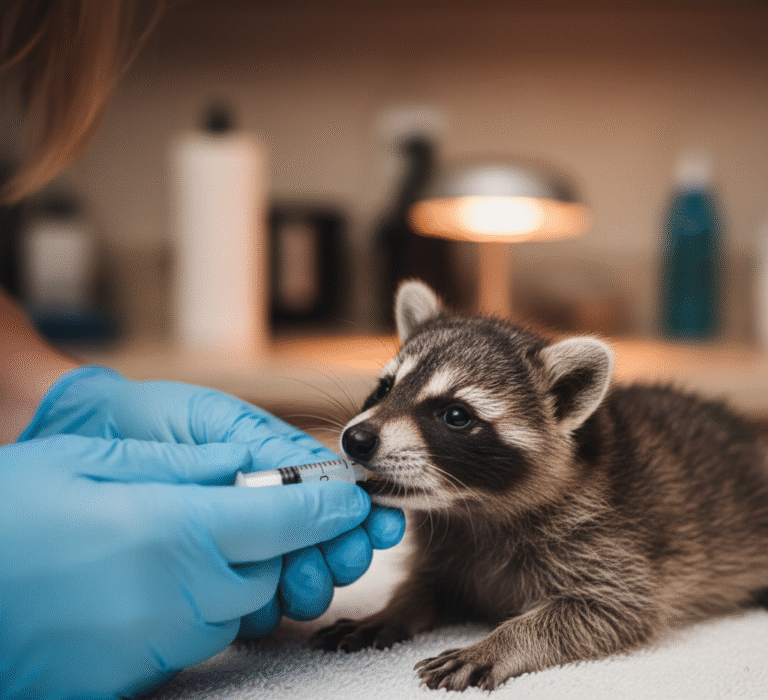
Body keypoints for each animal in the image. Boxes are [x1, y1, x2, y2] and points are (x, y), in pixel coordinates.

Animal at [309, 280, 768, 692]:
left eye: (456, 416)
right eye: (385, 388)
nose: (356, 439)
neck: (472, 509)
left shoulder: (611, 540)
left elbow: (612, 609)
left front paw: (501, 642)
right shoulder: (451, 551)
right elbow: (427, 585)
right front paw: (390, 611)